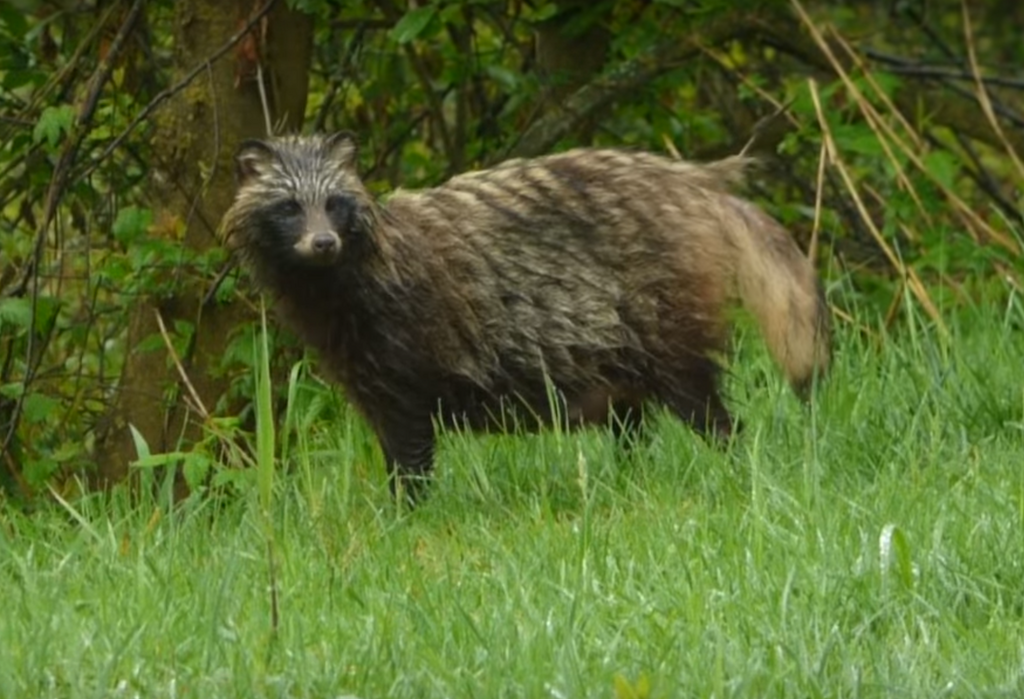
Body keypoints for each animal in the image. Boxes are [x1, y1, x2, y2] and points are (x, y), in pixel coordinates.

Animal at [220, 132, 830, 501]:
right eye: (288, 207)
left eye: (335, 203)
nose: (323, 242)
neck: (336, 285)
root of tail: (697, 185)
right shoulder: (364, 372)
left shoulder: (404, 358)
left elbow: (410, 456)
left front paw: (404, 518)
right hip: (616, 351)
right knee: (631, 423)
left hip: (666, 322)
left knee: (710, 412)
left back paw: (734, 468)